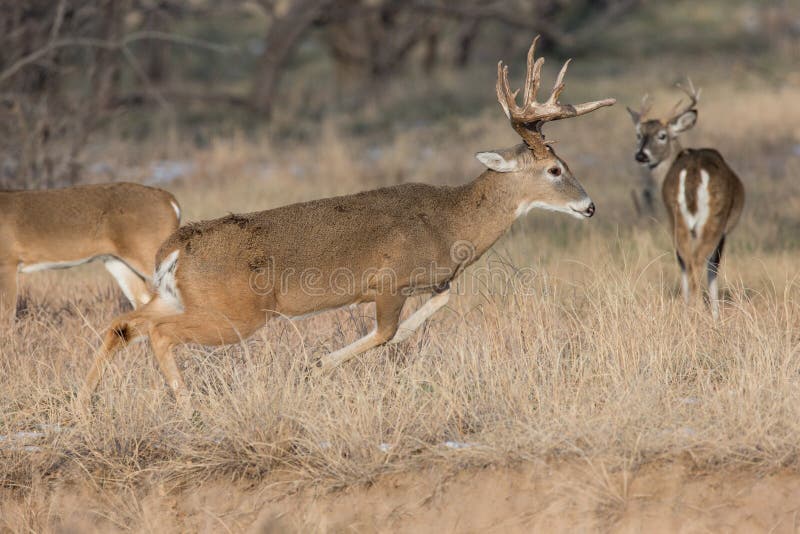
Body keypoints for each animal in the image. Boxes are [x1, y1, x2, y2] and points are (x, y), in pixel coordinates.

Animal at [0, 182, 181, 322]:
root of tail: (171, 200)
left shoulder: (7, 262)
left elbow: (6, 315)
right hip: (117, 261)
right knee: (145, 300)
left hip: (151, 251)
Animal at [78, 36, 615, 416]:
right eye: (556, 169)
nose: (590, 207)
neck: (450, 222)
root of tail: (175, 247)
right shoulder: (388, 281)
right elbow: (385, 332)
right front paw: (316, 367)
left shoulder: (427, 280)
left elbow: (431, 308)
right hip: (236, 313)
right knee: (157, 333)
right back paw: (184, 402)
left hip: (176, 297)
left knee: (124, 324)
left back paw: (86, 400)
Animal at [627, 81, 745, 318]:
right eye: (638, 134)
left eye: (662, 135)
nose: (641, 155)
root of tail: (692, 172)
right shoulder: (724, 231)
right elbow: (713, 267)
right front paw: (715, 314)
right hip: (714, 218)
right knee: (698, 259)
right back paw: (698, 308)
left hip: (675, 217)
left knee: (684, 257)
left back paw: (690, 308)